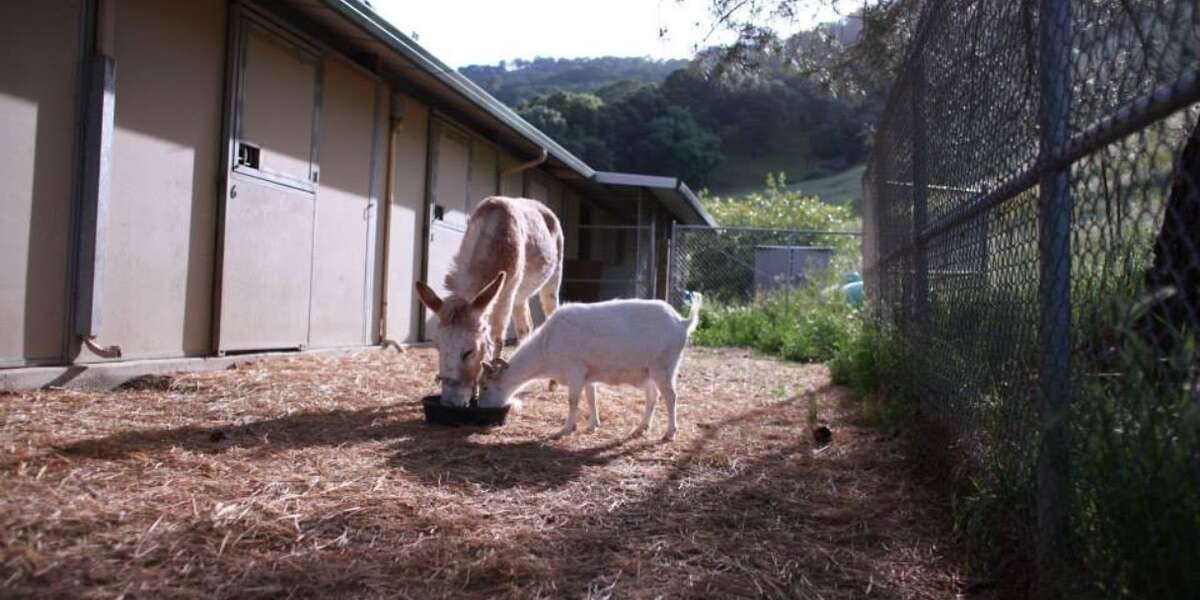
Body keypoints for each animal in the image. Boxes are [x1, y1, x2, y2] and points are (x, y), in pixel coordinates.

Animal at [479, 294, 702, 441]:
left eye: (485, 386)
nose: (482, 408)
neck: (546, 346)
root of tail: (682, 322)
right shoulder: (588, 375)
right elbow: (591, 398)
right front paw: (592, 426)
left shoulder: (575, 371)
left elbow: (573, 401)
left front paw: (565, 429)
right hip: (648, 372)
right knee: (652, 396)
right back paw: (640, 428)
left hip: (664, 366)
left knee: (670, 397)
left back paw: (669, 433)